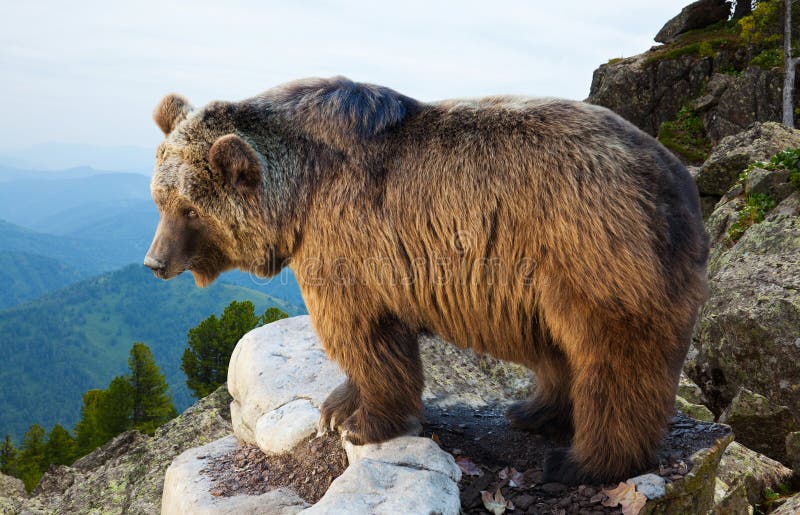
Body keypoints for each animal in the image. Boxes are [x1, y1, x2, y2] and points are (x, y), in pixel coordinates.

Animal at [144, 76, 708, 484]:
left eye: (190, 209)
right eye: (161, 198)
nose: (154, 262)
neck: (300, 193)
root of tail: (677, 178)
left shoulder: (347, 242)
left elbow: (363, 335)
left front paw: (364, 423)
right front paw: (336, 408)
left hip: (591, 247)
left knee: (614, 359)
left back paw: (582, 462)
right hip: (545, 281)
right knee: (561, 350)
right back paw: (532, 411)